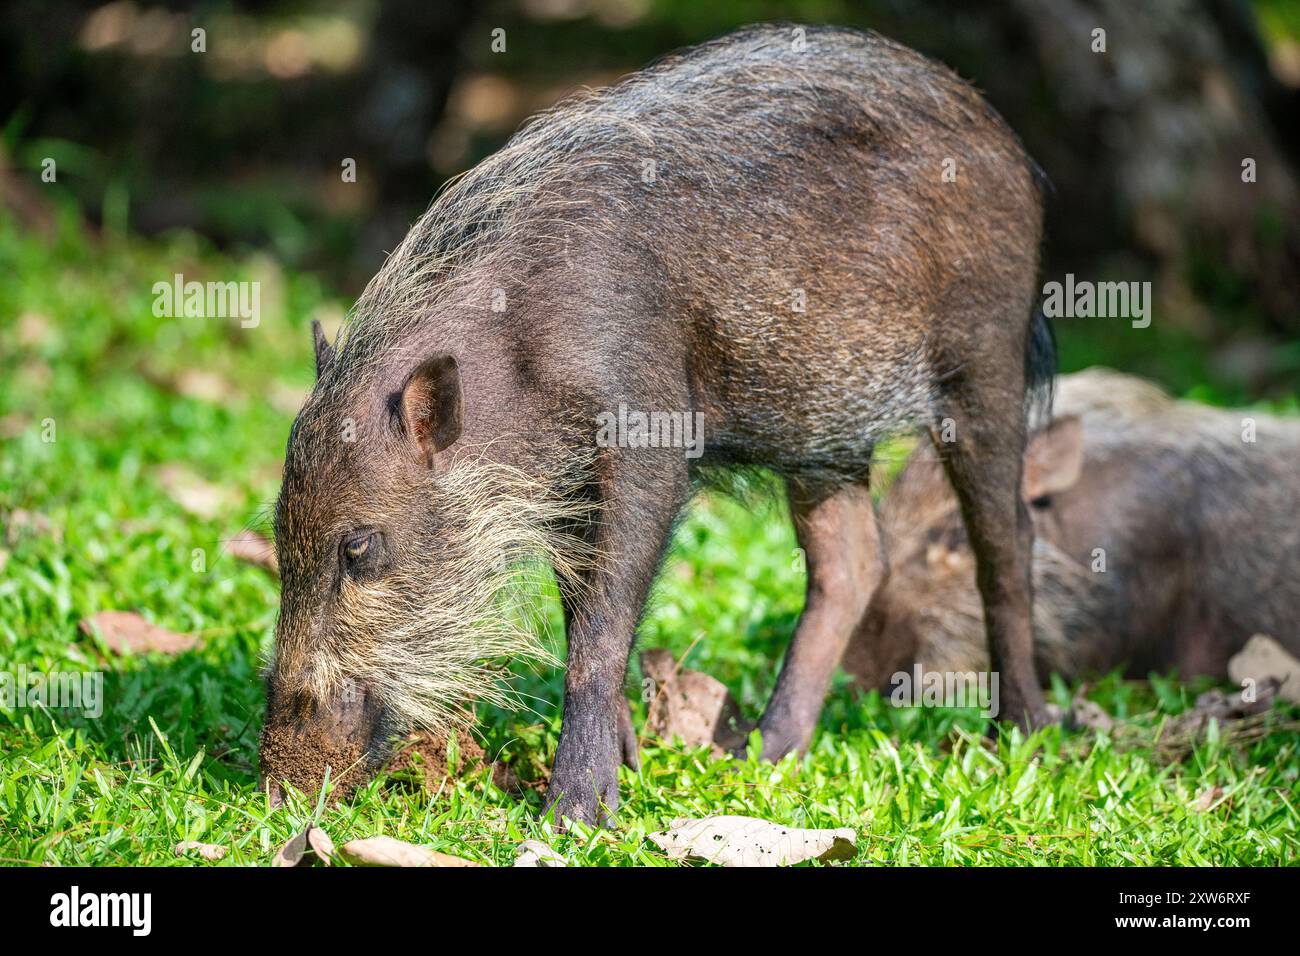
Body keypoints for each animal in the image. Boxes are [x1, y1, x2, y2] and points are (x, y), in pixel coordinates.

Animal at [260, 23, 1053, 826]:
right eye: (277, 539)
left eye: (359, 547)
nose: (278, 789)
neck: (518, 358)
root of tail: (998, 131)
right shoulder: (567, 482)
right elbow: (578, 608)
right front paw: (632, 765)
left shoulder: (648, 438)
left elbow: (601, 629)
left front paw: (577, 814)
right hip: (825, 433)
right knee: (852, 563)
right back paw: (762, 753)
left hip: (982, 361)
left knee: (1006, 542)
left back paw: (1021, 735)